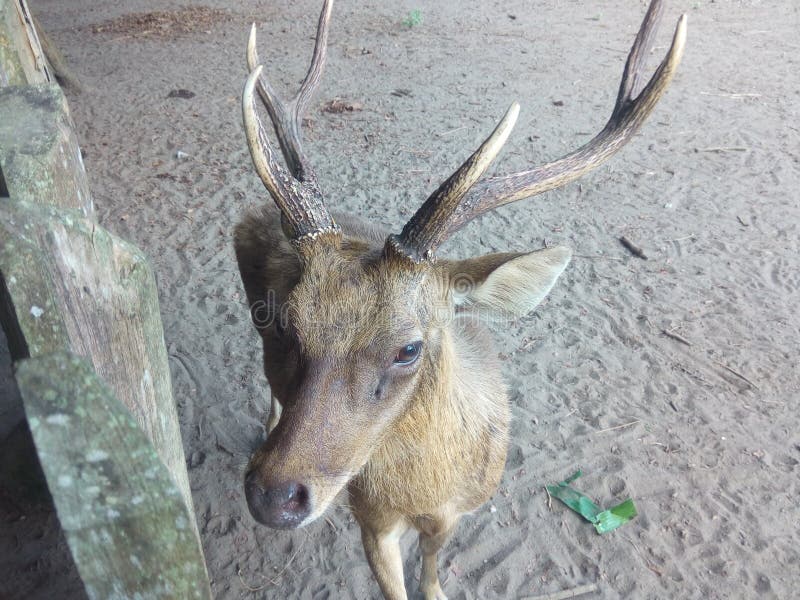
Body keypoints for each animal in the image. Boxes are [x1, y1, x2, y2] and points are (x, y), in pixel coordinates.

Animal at [235, 1, 686, 598]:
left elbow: (432, 566)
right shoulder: (370, 518)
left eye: (409, 348)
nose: (274, 496)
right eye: (290, 322)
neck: (425, 492)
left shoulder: (460, 510)